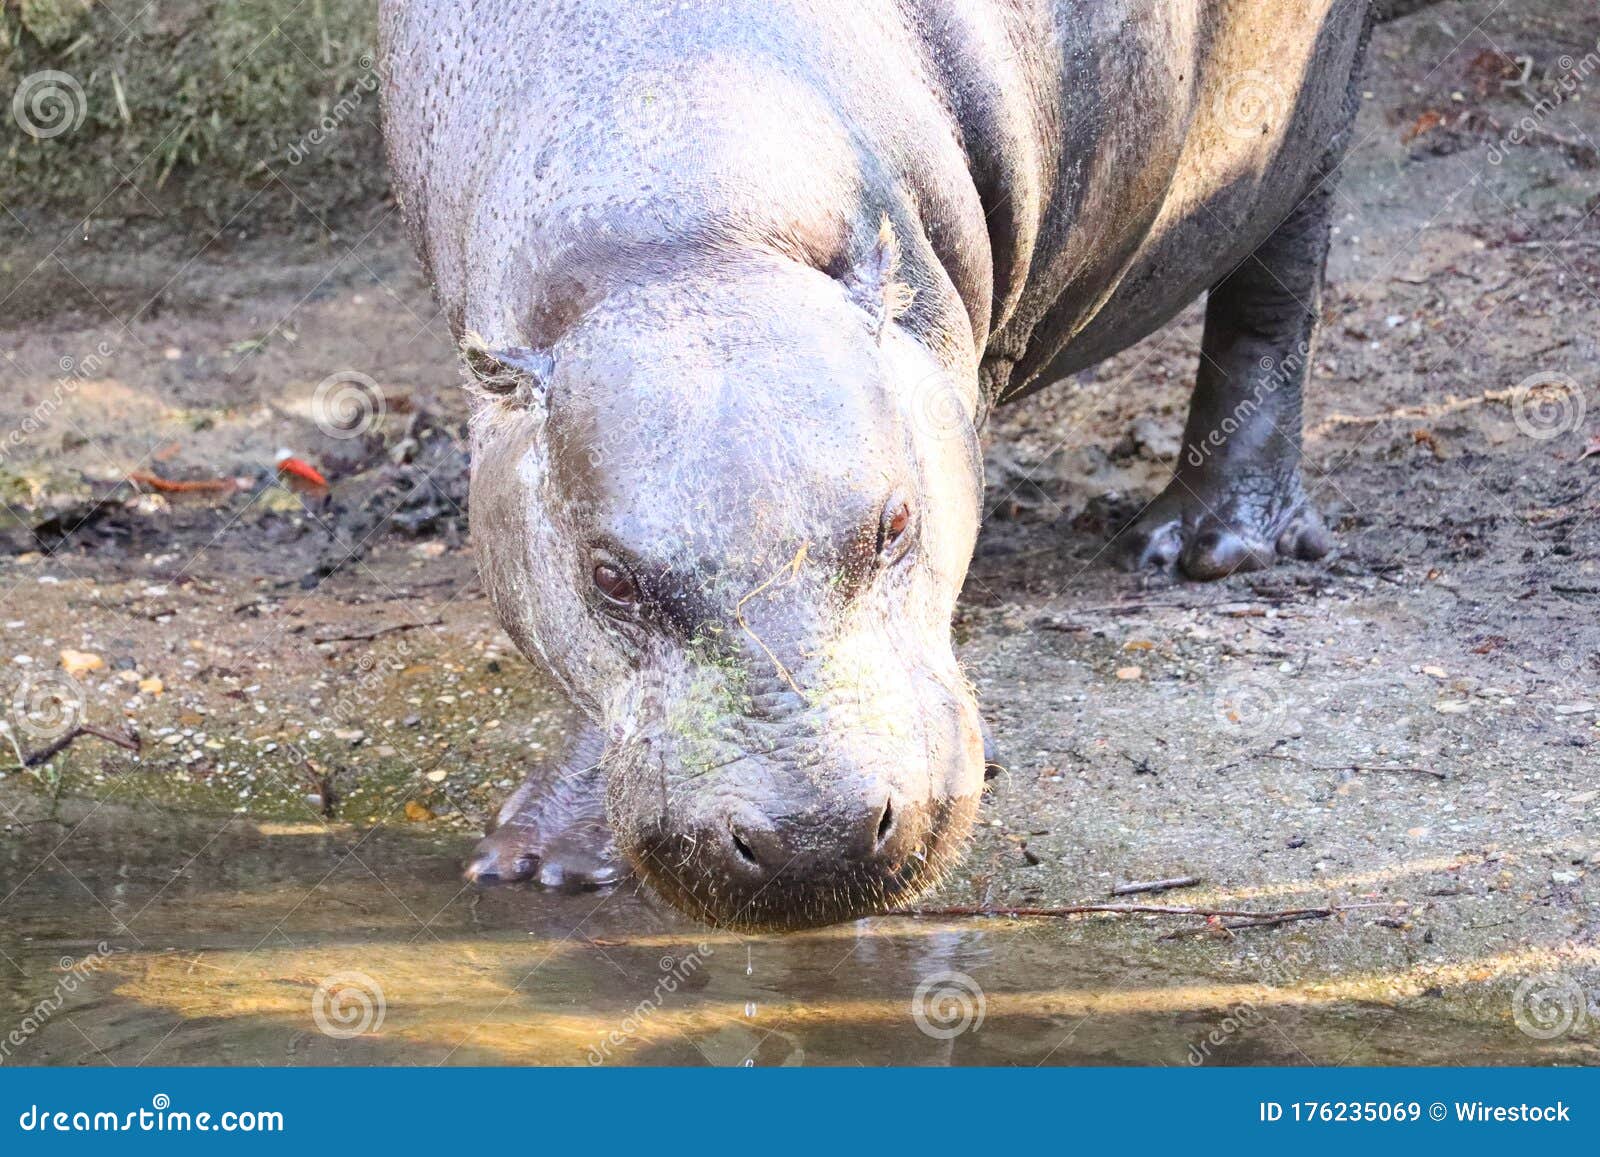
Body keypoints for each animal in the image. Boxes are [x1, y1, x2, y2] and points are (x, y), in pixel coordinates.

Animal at [379, 0, 1378, 929]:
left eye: (896, 522)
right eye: (609, 576)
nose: (813, 836)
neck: (686, 237)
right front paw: (541, 865)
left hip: (1308, 133)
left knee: (1274, 299)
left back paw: (1205, 544)